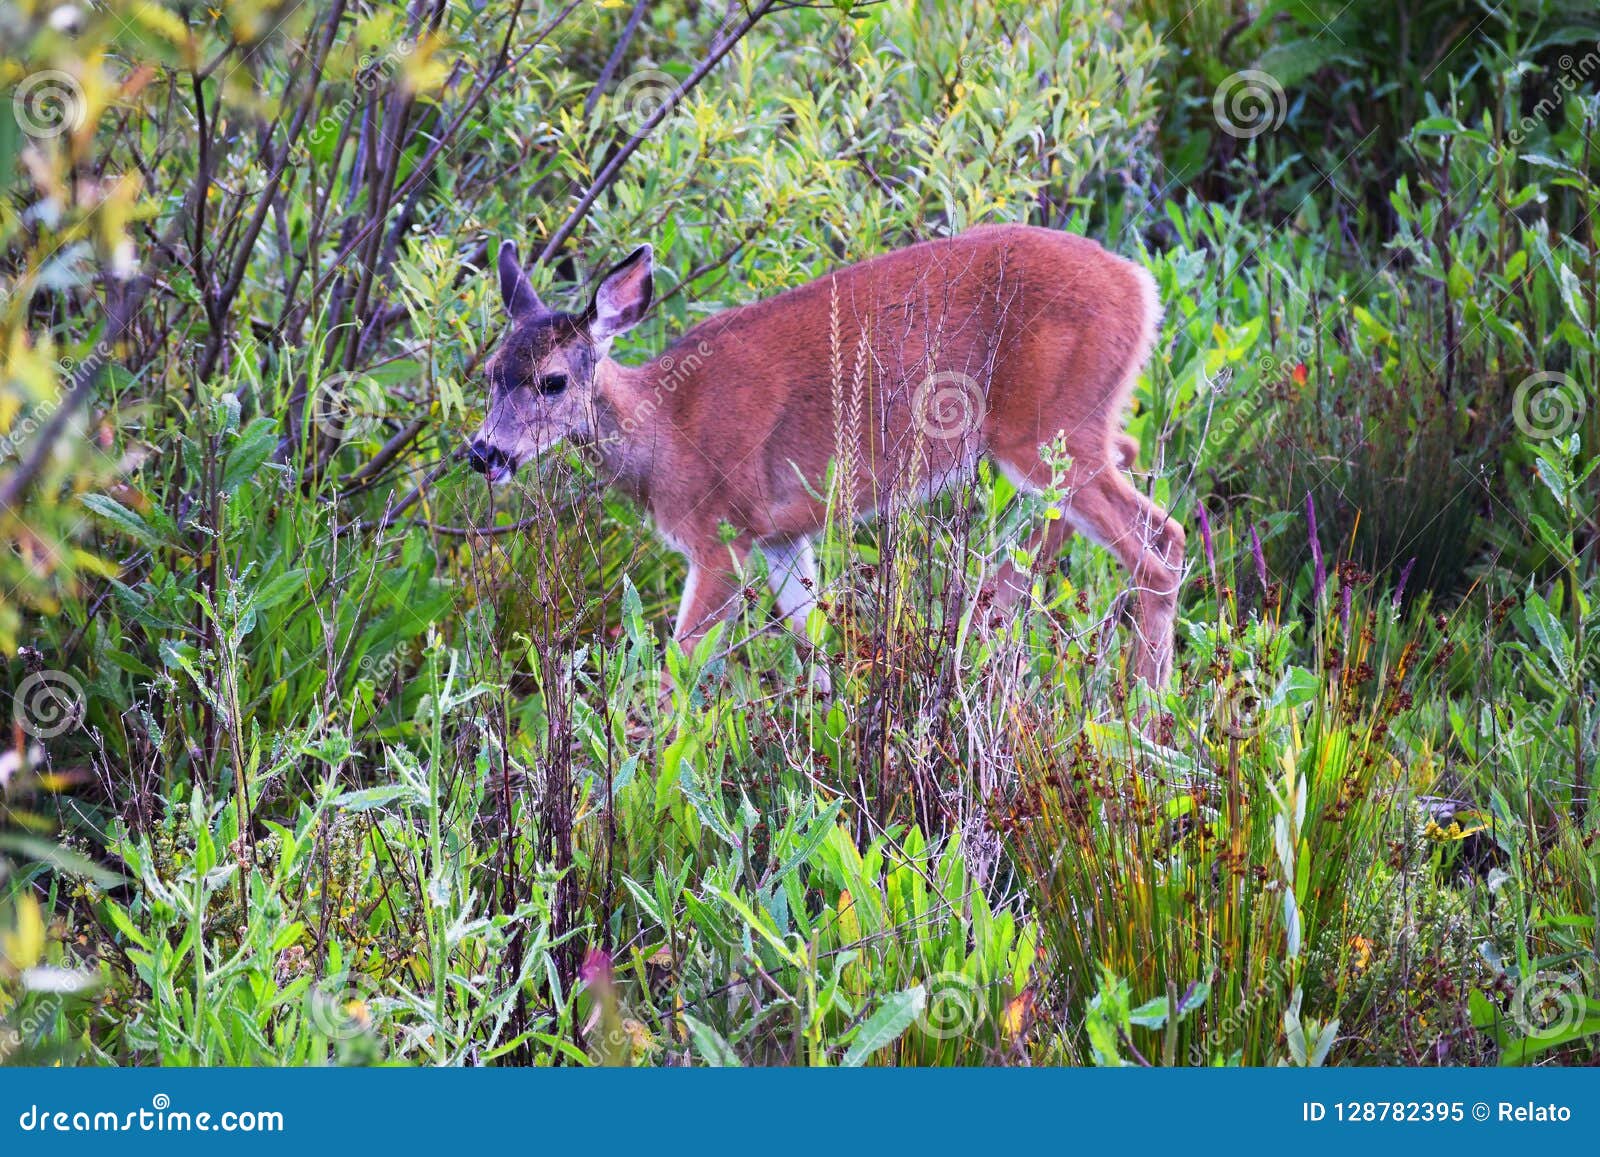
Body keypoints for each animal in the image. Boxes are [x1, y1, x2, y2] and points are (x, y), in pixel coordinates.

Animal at [466, 224, 1185, 692]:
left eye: (553, 380)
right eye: (491, 373)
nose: (484, 452)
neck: (667, 428)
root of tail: (1144, 287)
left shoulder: (722, 532)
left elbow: (682, 666)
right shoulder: (784, 534)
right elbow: (814, 640)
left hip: (1044, 428)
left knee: (1159, 543)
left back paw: (1142, 719)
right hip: (1071, 429)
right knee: (1125, 483)